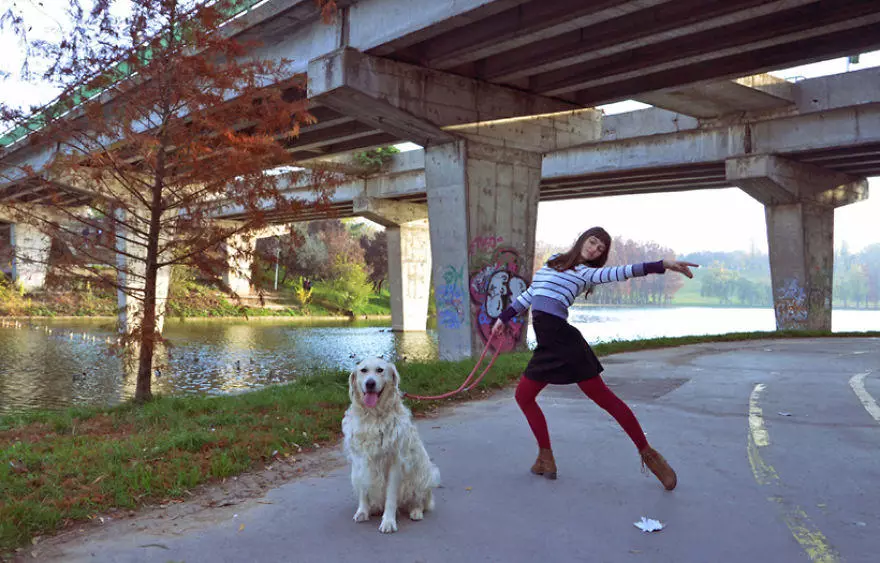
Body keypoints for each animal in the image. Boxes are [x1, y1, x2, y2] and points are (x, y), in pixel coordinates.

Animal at [342, 356, 440, 532]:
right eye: (363, 370)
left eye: (380, 370)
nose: (370, 383)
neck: (372, 416)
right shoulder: (360, 460)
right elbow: (363, 489)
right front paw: (362, 511)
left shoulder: (394, 463)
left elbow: (391, 498)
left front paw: (388, 521)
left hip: (423, 474)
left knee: (421, 500)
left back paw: (416, 511)